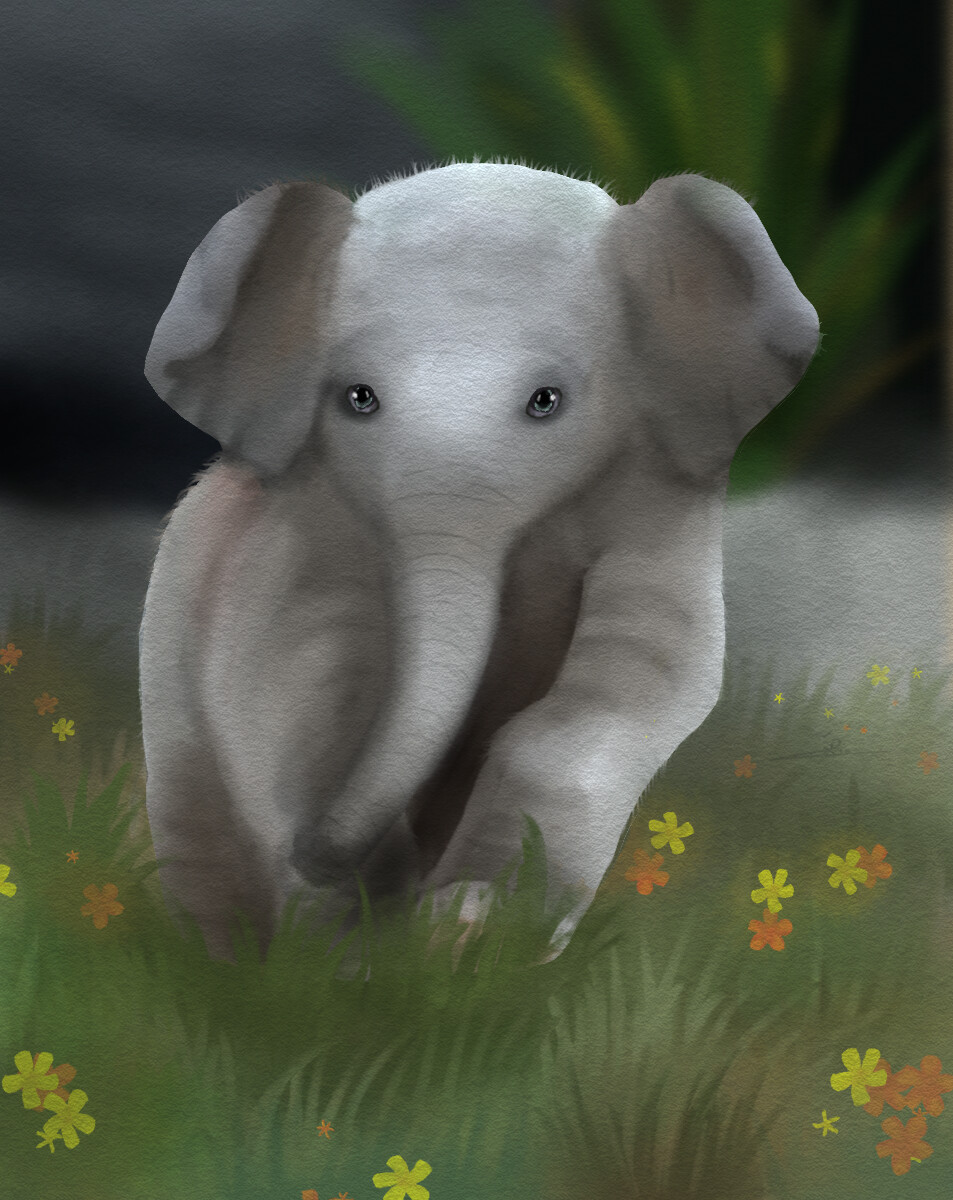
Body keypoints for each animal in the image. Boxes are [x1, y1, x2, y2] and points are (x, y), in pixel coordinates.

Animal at [139, 160, 819, 960]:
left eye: (547, 401)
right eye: (357, 399)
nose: (313, 848)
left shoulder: (658, 491)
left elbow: (639, 671)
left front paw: (476, 923)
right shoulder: (297, 508)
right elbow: (297, 678)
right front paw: (368, 922)